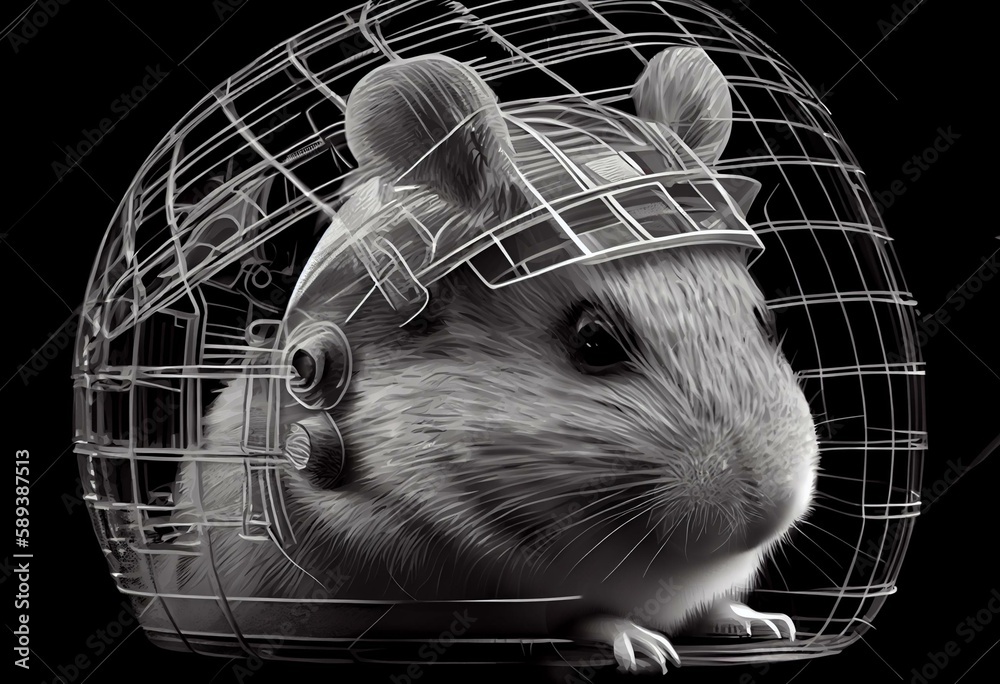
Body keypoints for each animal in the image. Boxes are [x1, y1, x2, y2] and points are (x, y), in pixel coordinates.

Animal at [161, 48, 819, 674]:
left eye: (767, 319)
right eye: (593, 342)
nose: (766, 516)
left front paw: (763, 619)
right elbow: (576, 617)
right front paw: (638, 641)